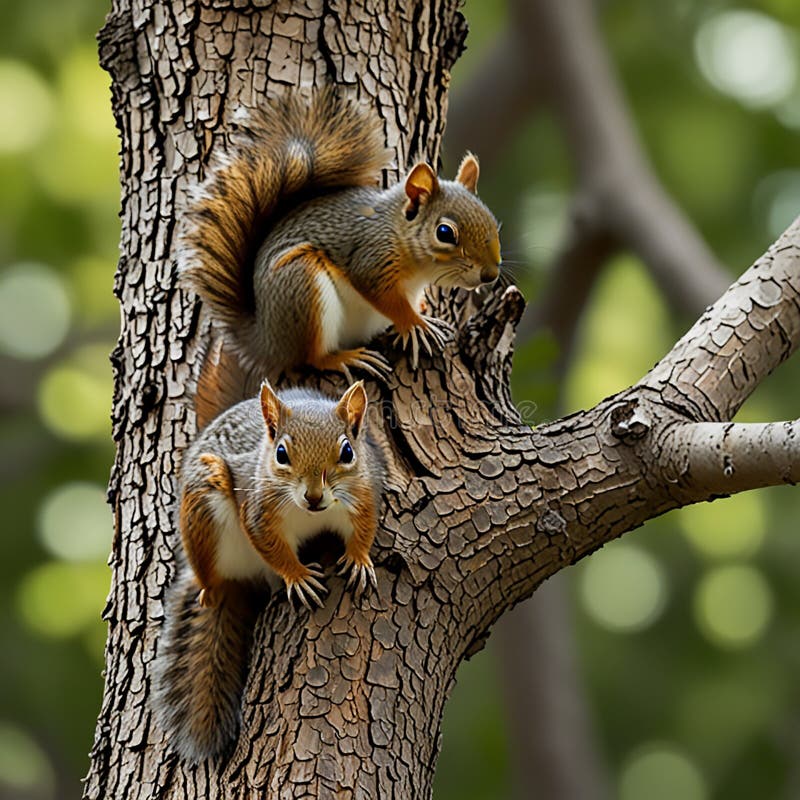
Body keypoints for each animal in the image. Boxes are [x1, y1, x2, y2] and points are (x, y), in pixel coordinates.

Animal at [153, 379, 386, 762]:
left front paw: (359, 559)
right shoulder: (258, 510)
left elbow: (364, 529)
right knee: (210, 579)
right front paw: (298, 576)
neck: (312, 514)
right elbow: (272, 548)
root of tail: (233, 578)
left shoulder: (363, 494)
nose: (314, 497)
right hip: (203, 496)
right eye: (281, 454)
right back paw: (212, 588)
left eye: (348, 452)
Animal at [178, 88, 502, 385]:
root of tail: (267, 341)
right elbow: (383, 296)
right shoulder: (371, 257)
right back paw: (344, 358)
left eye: (493, 222)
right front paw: (414, 324)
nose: (490, 275)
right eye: (445, 233)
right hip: (300, 288)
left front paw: (422, 310)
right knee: (310, 358)